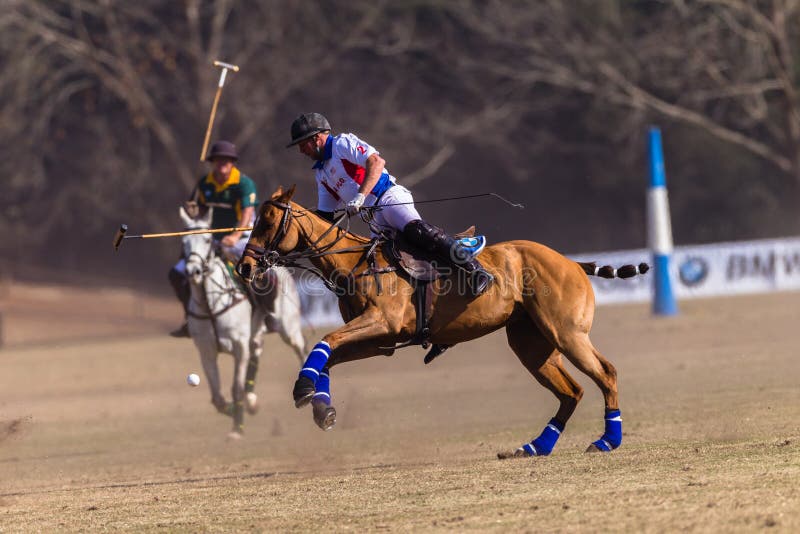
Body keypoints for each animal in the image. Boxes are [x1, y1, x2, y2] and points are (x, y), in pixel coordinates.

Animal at [179, 205, 306, 438]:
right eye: (184, 242)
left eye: (208, 240)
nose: (194, 271)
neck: (211, 305)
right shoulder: (206, 351)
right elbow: (217, 397)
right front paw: (233, 410)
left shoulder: (239, 345)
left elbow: (235, 388)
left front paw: (237, 428)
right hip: (255, 331)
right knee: (256, 351)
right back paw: (251, 401)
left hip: (288, 327)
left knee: (301, 348)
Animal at [237, 186, 648, 457]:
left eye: (267, 221)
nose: (245, 266)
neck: (354, 263)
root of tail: (571, 262)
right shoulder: (381, 341)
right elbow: (330, 354)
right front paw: (322, 407)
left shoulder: (381, 323)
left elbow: (325, 342)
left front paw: (303, 389)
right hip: (531, 344)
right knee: (571, 391)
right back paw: (535, 446)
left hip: (565, 332)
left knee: (605, 373)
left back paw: (607, 440)